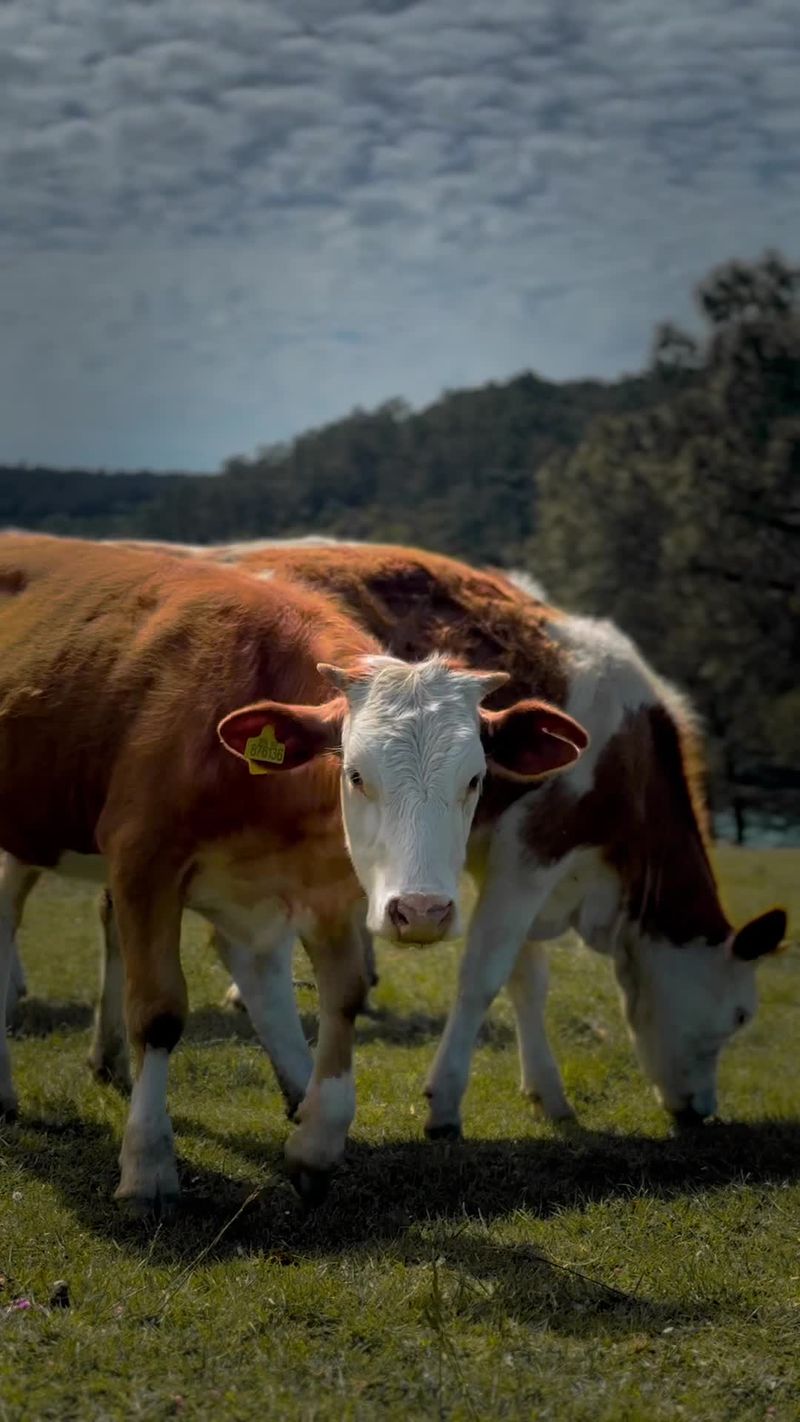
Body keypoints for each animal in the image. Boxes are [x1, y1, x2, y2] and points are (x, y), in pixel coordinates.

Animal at [0, 533, 587, 1207]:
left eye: (475, 778)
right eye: (355, 774)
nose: (422, 912)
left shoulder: (328, 889)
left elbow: (344, 997)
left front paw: (317, 1136)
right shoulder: (143, 865)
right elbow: (158, 1010)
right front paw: (147, 1167)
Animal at [113, 537, 784, 1133]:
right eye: (740, 1015)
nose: (702, 1110)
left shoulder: (507, 853)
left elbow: (527, 977)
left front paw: (548, 1093)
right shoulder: (537, 845)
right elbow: (484, 972)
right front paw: (445, 1102)